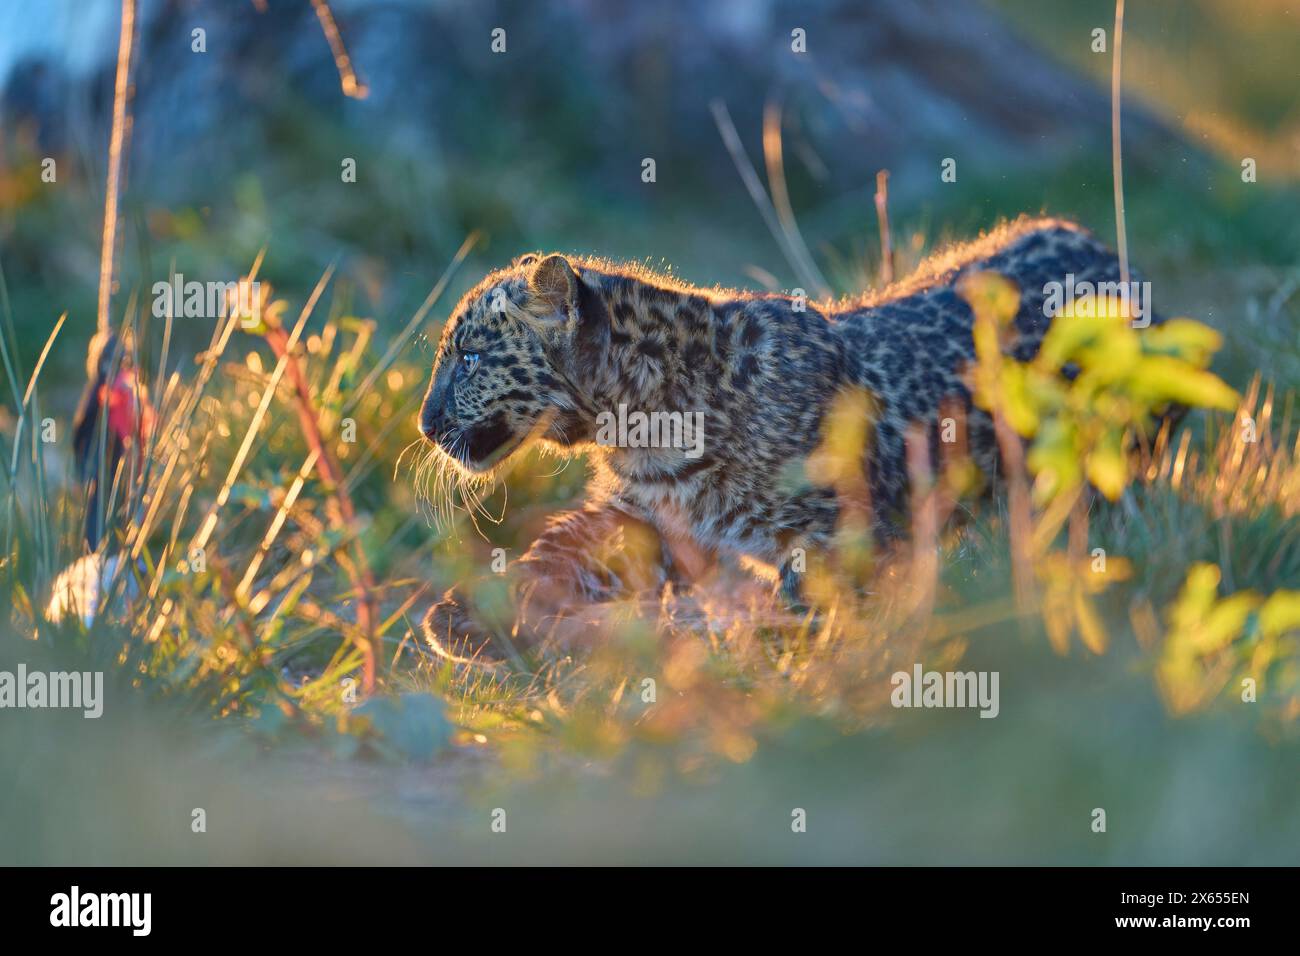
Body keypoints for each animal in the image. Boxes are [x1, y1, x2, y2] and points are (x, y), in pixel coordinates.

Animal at [416, 216, 1158, 664]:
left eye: (470, 359)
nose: (423, 424)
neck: (641, 423)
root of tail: (1099, 243)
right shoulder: (643, 515)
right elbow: (558, 555)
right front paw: (466, 618)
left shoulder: (832, 536)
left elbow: (810, 613)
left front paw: (785, 671)